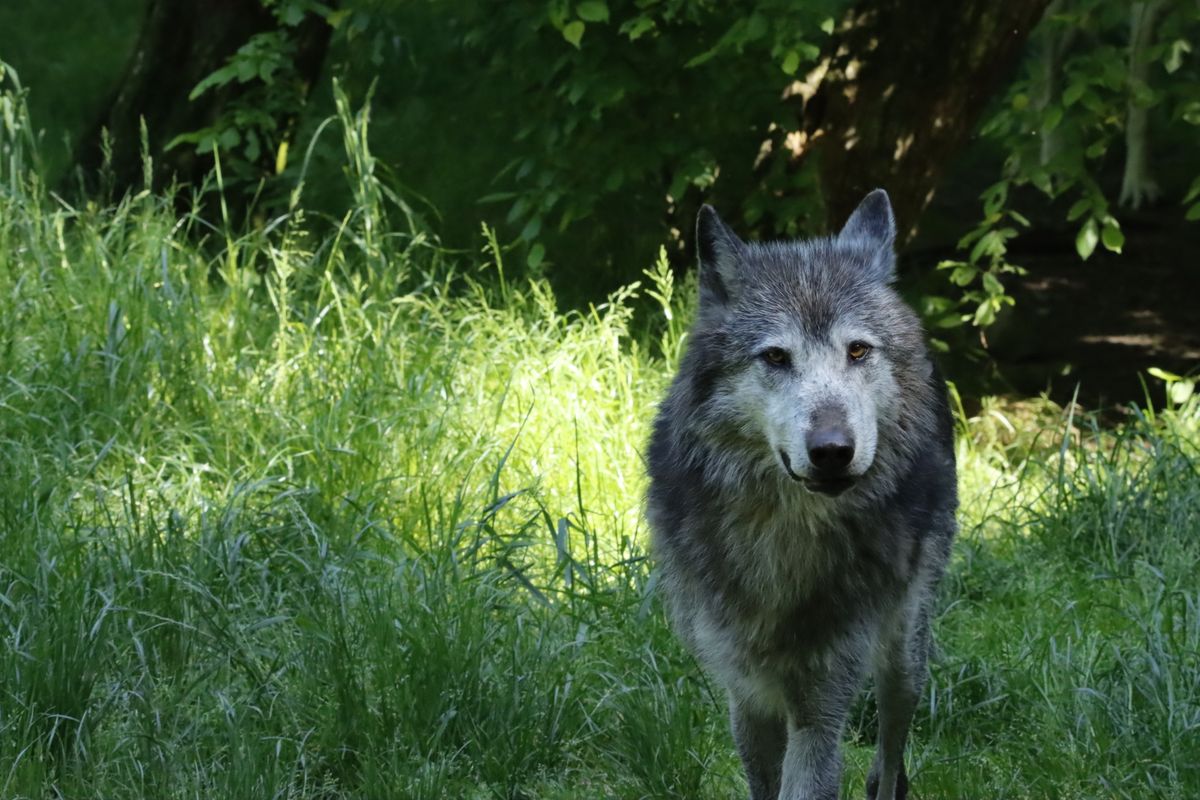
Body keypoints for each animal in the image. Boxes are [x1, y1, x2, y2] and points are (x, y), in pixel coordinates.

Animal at [646, 189, 957, 800]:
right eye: (775, 357)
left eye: (857, 351)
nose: (832, 449)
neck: (783, 539)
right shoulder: (747, 696)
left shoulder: (822, 704)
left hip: (904, 651)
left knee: (892, 747)